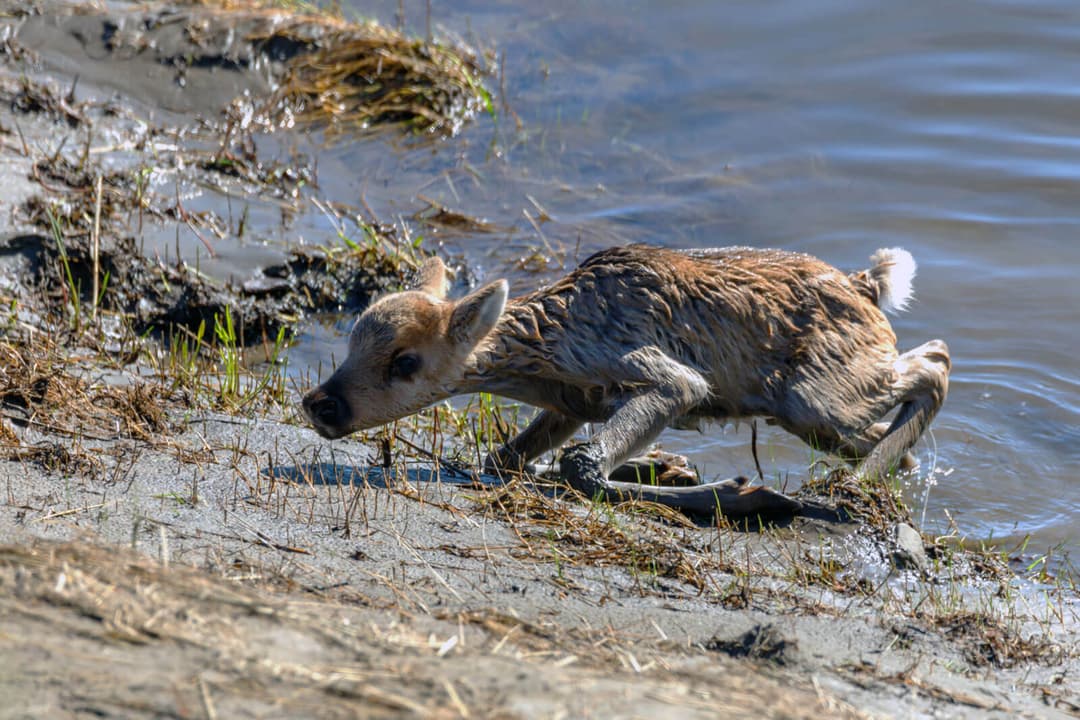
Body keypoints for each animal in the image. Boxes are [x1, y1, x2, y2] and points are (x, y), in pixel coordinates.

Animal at [302, 244, 950, 517]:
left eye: (406, 363)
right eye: (352, 338)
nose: (318, 404)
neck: (549, 350)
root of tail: (866, 286)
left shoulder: (667, 378)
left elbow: (582, 466)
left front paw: (743, 492)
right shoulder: (574, 401)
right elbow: (505, 460)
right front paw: (668, 466)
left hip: (817, 397)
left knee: (935, 363)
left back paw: (848, 489)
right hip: (827, 413)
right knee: (902, 442)